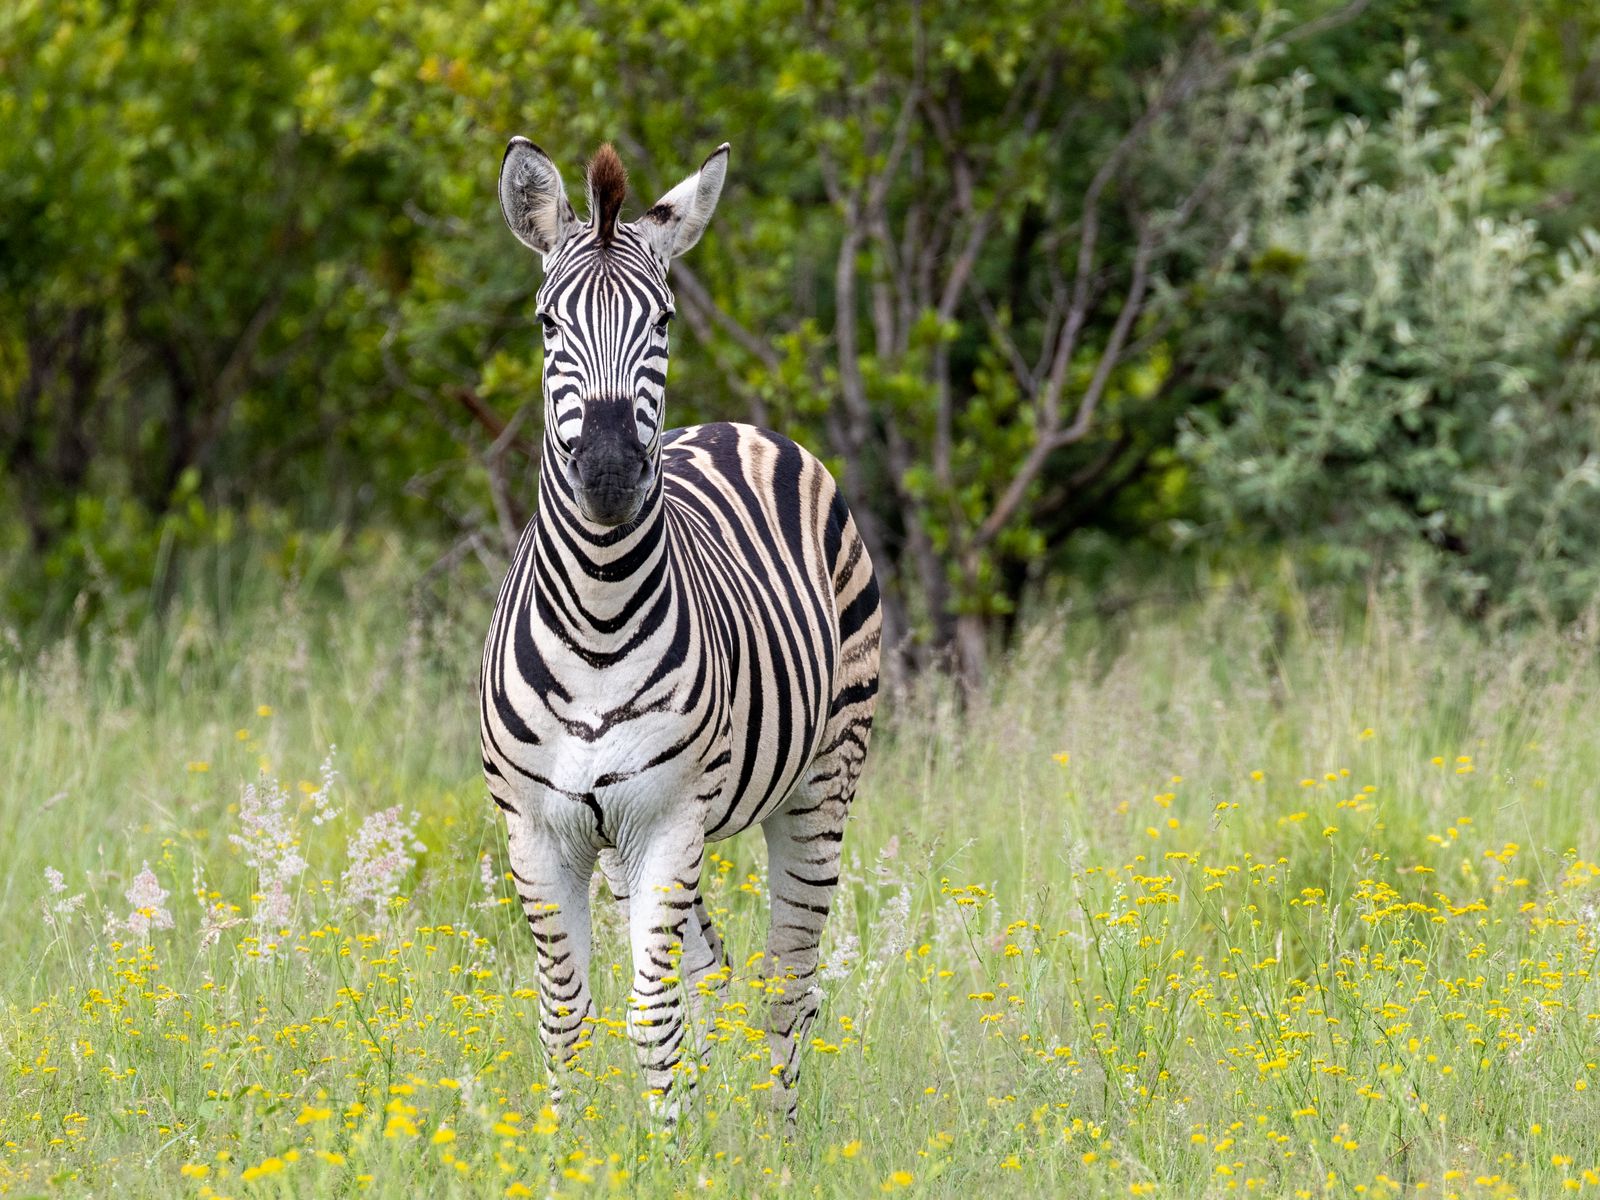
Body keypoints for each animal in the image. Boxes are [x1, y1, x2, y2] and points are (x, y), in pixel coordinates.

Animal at [479, 137, 882, 1126]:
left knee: (786, 985)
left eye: (662, 322)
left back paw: (777, 1137)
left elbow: (651, 1015)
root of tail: (737, 426)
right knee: (717, 972)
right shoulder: (538, 830)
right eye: (546, 325)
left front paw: (667, 1143)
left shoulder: (668, 816)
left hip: (821, 783)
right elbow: (566, 1016)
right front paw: (568, 1145)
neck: (596, 615)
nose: (610, 471)